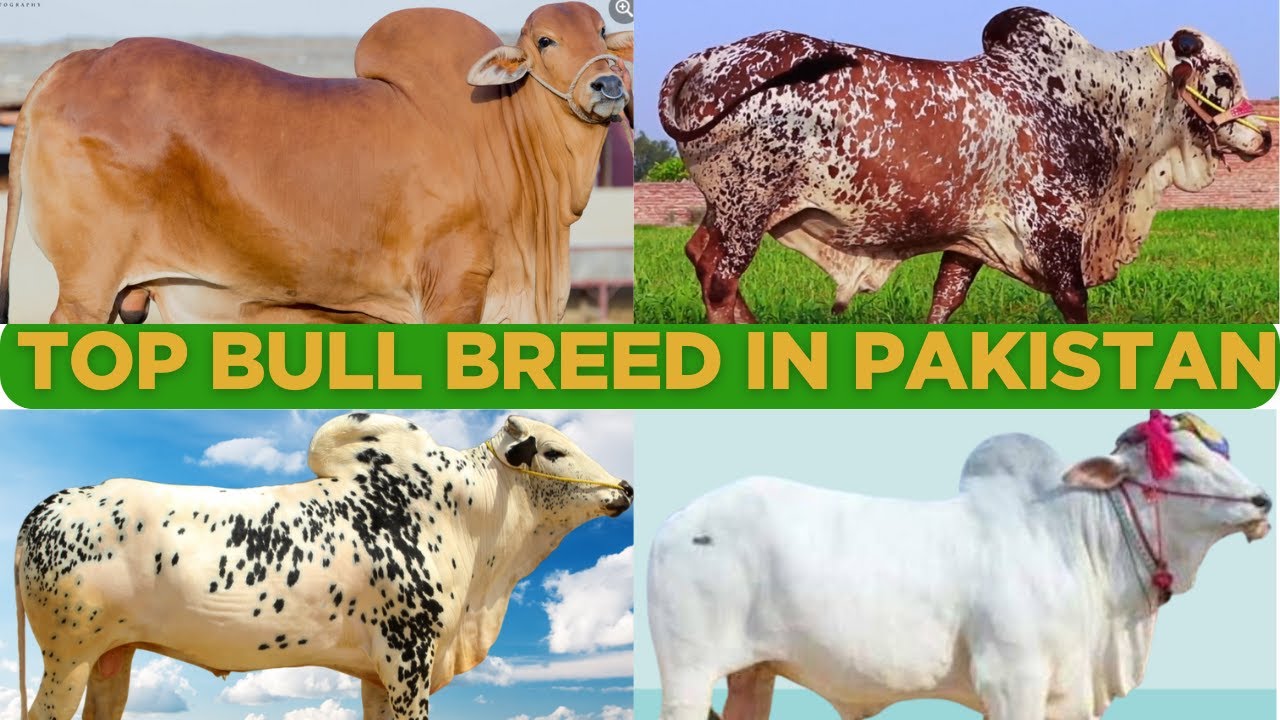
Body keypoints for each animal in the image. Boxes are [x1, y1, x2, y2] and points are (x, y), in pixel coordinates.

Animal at [0, 2, 633, 324]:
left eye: (602, 30)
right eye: (545, 41)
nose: (608, 85)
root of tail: (75, 63)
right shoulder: (454, 294)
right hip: (86, 290)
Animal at [14, 412, 633, 720]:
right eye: (553, 451)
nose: (624, 488)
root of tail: (47, 506)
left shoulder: (378, 675)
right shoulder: (409, 658)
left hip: (111, 658)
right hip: (68, 659)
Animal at [647, 411, 1271, 720]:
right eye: (1181, 456)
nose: (1262, 502)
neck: (1075, 541)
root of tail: (676, 522)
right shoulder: (1012, 680)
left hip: (754, 673)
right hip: (688, 674)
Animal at [657, 7, 1273, 323]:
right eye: (1222, 76)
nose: (1263, 136)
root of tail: (703, 59)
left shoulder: (970, 240)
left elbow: (943, 304)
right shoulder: (1053, 232)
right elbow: (1076, 306)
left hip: (727, 208)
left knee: (699, 256)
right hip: (747, 209)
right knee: (720, 280)